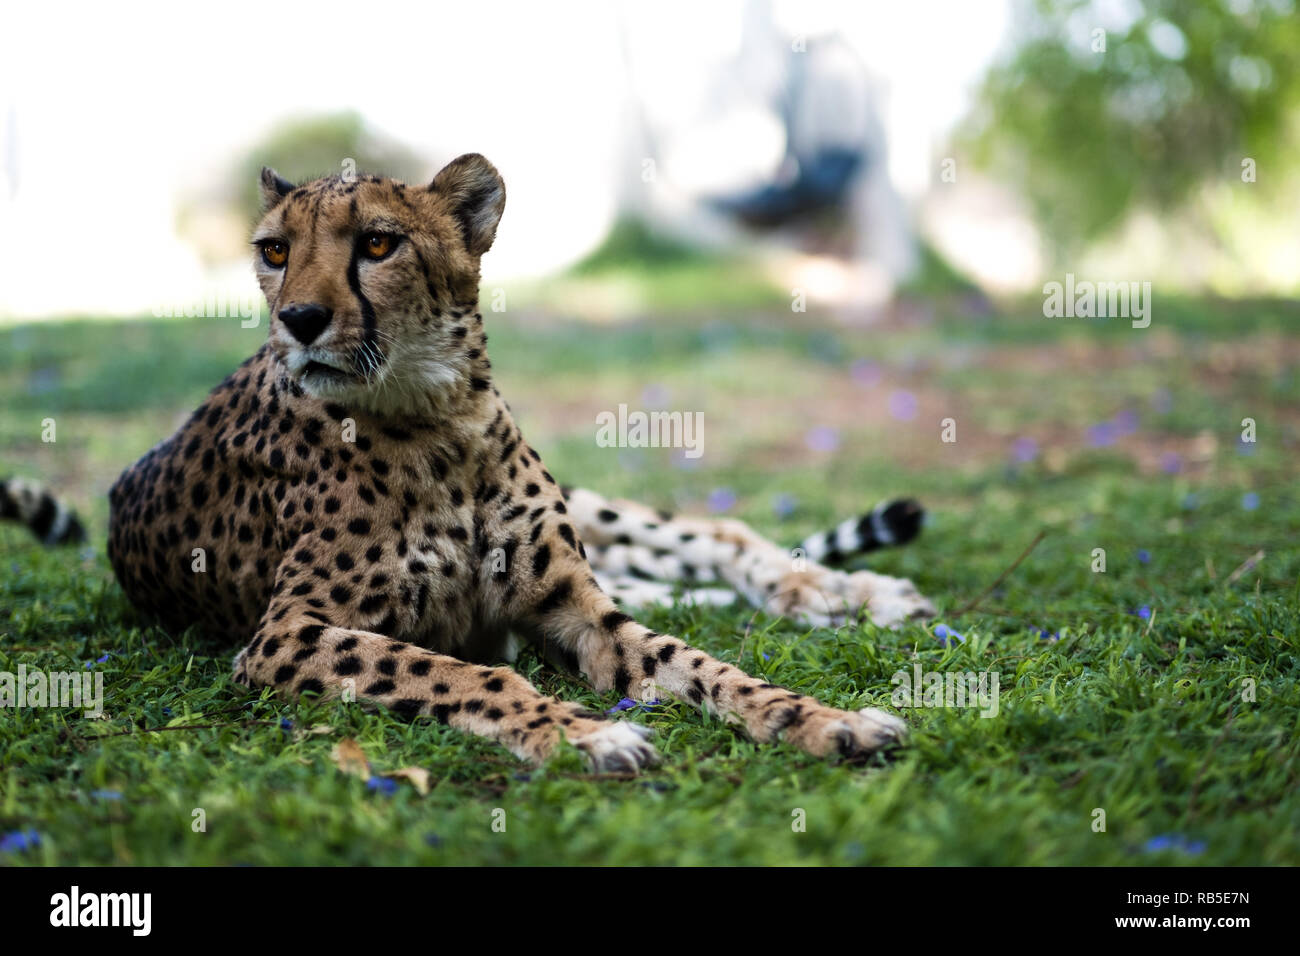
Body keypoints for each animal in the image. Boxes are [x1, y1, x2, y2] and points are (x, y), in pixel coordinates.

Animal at [3, 154, 936, 772]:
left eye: (378, 245)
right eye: (273, 251)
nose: (299, 320)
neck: (437, 413)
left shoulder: (573, 607)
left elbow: (706, 666)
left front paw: (818, 717)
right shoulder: (284, 636)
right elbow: (454, 669)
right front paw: (582, 730)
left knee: (719, 535)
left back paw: (847, 593)